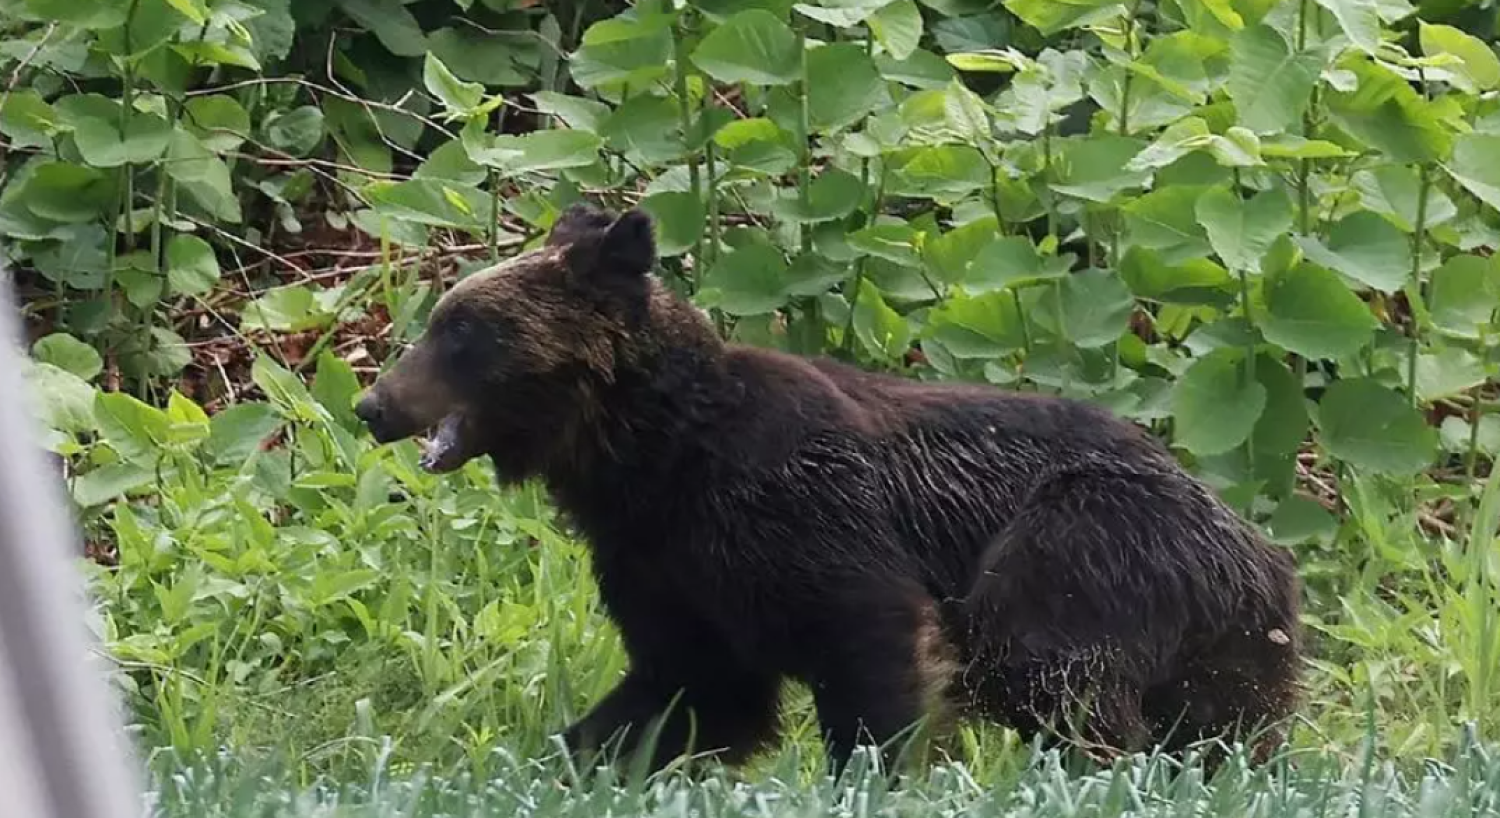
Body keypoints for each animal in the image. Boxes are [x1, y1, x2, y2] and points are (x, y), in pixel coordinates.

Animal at [353, 202, 1304, 777]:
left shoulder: (799, 512)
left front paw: (876, 769)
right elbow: (688, 689)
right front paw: (576, 756)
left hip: (1088, 540)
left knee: (1047, 667)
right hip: (1230, 648)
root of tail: (1260, 545)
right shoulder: (662, 563)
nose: (372, 404)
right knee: (1221, 727)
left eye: (461, 330)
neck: (651, 456)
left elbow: (871, 642)